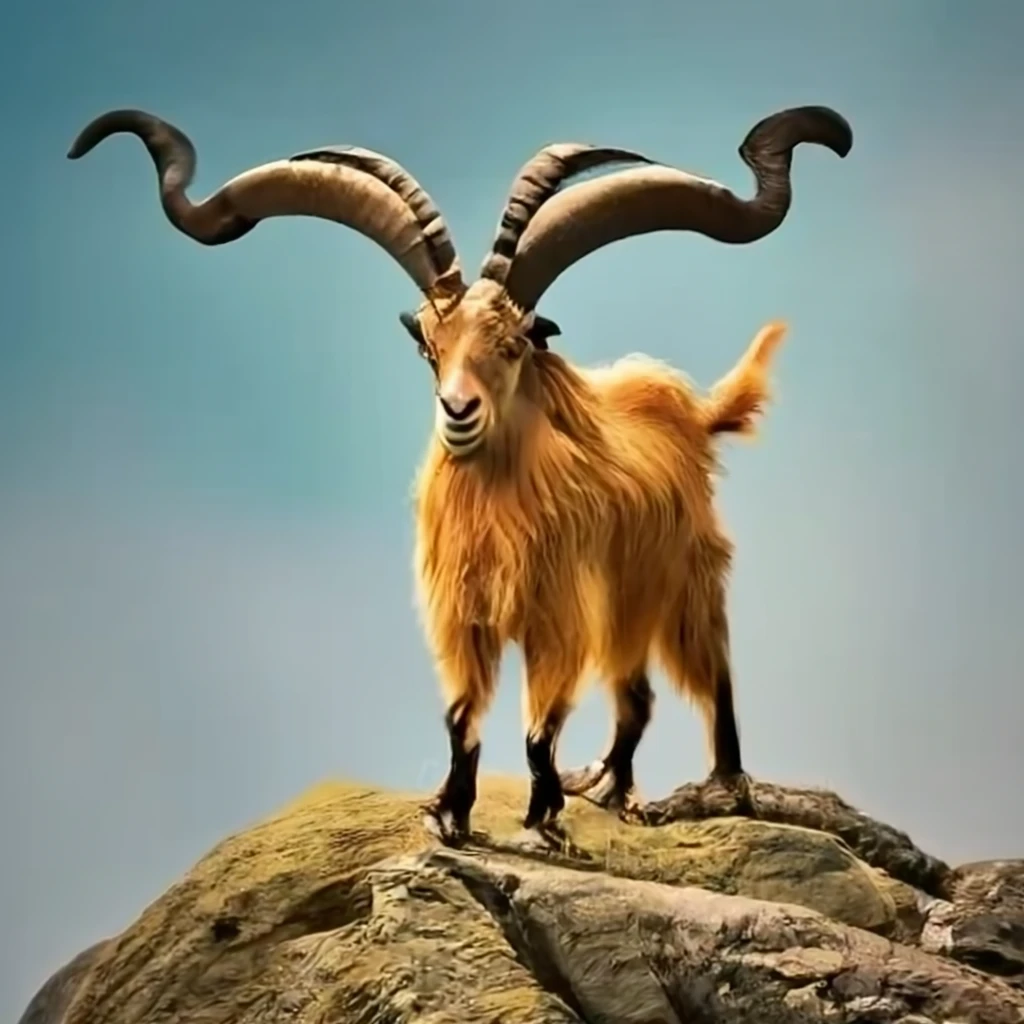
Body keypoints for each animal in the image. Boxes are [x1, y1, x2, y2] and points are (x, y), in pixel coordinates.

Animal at [68, 104, 853, 849]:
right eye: (429, 346)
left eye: (515, 343)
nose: (459, 410)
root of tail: (694, 411)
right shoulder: (465, 617)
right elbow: (461, 718)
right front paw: (450, 814)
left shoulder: (558, 617)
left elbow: (540, 725)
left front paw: (543, 823)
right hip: (630, 608)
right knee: (636, 700)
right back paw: (608, 784)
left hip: (683, 585)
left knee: (710, 681)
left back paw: (719, 788)